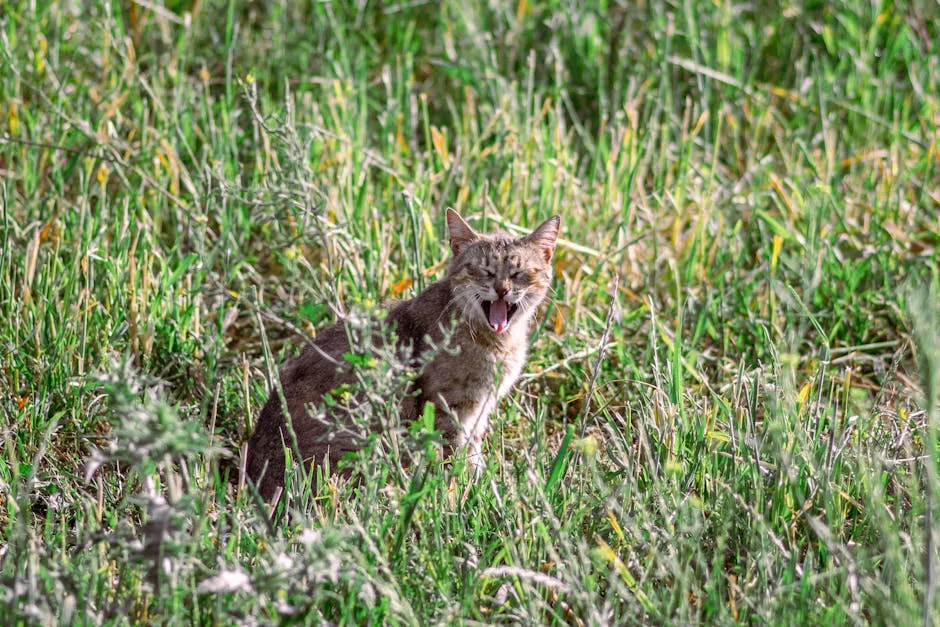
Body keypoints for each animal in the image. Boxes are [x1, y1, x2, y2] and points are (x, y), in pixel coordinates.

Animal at [246, 210, 560, 500]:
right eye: (485, 271)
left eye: (519, 273)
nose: (501, 290)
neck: (497, 341)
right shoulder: (449, 407)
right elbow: (454, 456)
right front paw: (461, 493)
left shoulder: (479, 410)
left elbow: (472, 453)